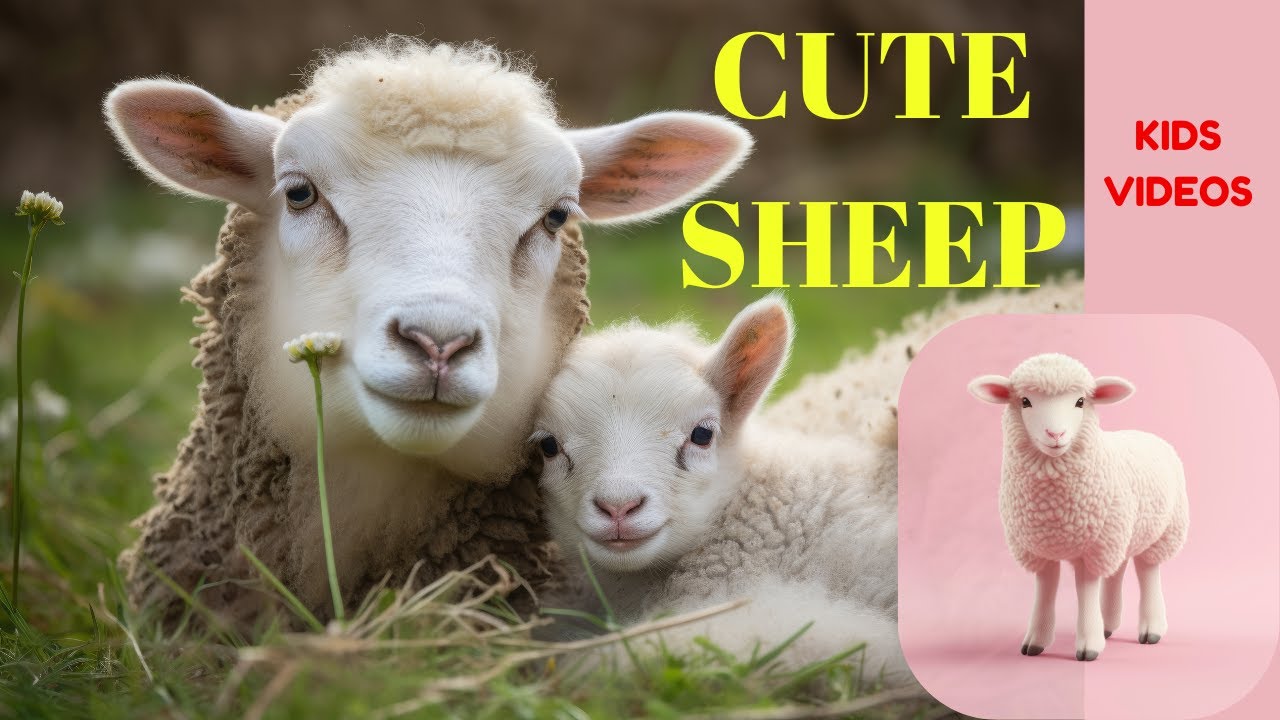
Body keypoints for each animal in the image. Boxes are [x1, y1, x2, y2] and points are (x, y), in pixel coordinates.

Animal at [969, 353, 1189, 661]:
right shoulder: (1041, 548)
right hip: (1121, 531)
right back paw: (1108, 624)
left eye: (1081, 401)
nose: (1055, 433)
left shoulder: (1091, 550)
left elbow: (1085, 591)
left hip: (1163, 531)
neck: (1052, 506)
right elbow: (1045, 590)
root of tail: (1148, 435)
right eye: (1025, 401)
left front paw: (1089, 645)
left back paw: (1151, 629)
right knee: (1117, 571)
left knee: (1148, 572)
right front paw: (1035, 641)